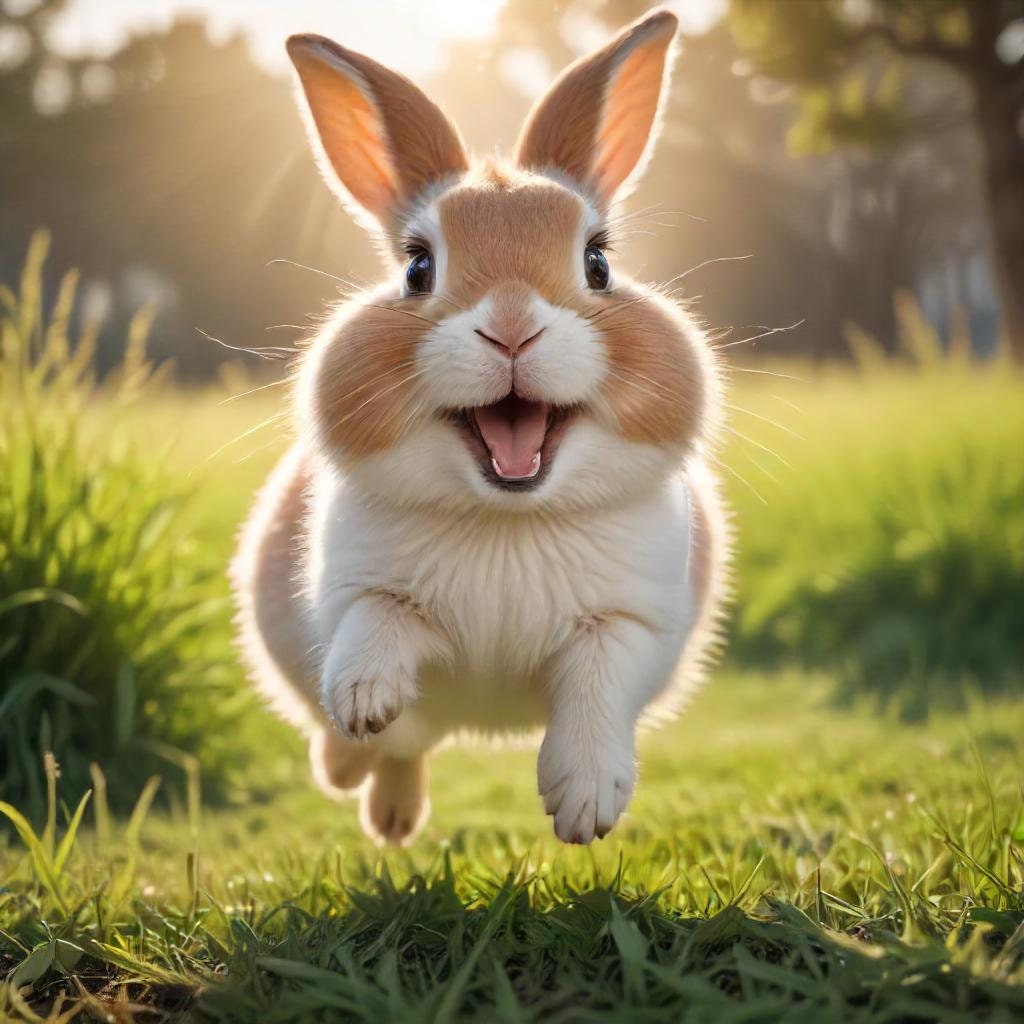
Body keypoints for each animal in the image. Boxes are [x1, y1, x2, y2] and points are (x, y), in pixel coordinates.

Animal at [231, 8, 730, 847]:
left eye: (598, 263)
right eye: (416, 268)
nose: (512, 327)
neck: (508, 517)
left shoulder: (635, 622)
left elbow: (599, 679)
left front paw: (585, 806)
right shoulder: (351, 589)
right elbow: (372, 625)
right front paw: (364, 702)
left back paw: (390, 817)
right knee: (393, 745)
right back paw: (355, 776)